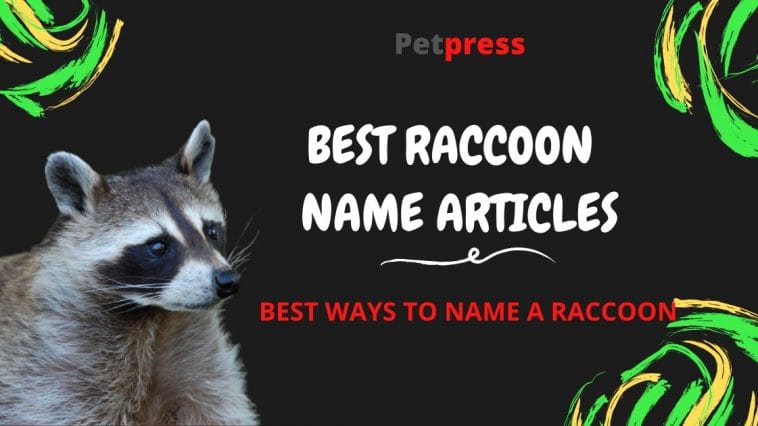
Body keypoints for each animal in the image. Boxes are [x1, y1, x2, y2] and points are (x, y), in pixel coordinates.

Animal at [0, 120, 258, 425]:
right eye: (158, 246)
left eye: (211, 231)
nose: (227, 280)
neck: (155, 315)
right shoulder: (51, 362)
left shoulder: (197, 353)